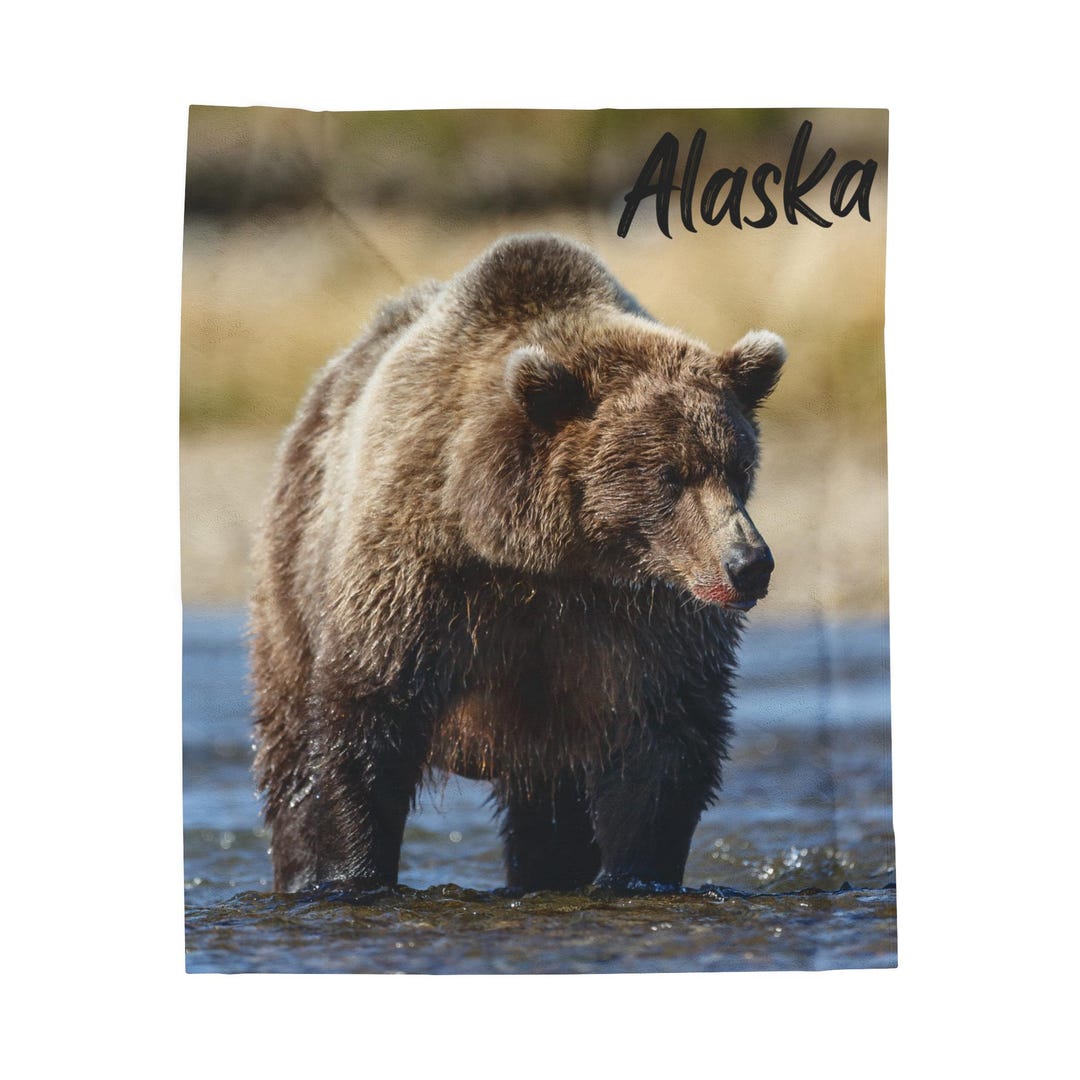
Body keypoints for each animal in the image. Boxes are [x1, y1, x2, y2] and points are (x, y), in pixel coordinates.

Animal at [250, 233, 786, 894]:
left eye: (737, 467)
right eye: (671, 475)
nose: (749, 563)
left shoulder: (646, 616)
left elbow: (667, 737)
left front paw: (638, 874)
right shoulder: (420, 575)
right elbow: (367, 715)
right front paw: (351, 876)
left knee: (549, 805)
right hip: (294, 572)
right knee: (291, 744)